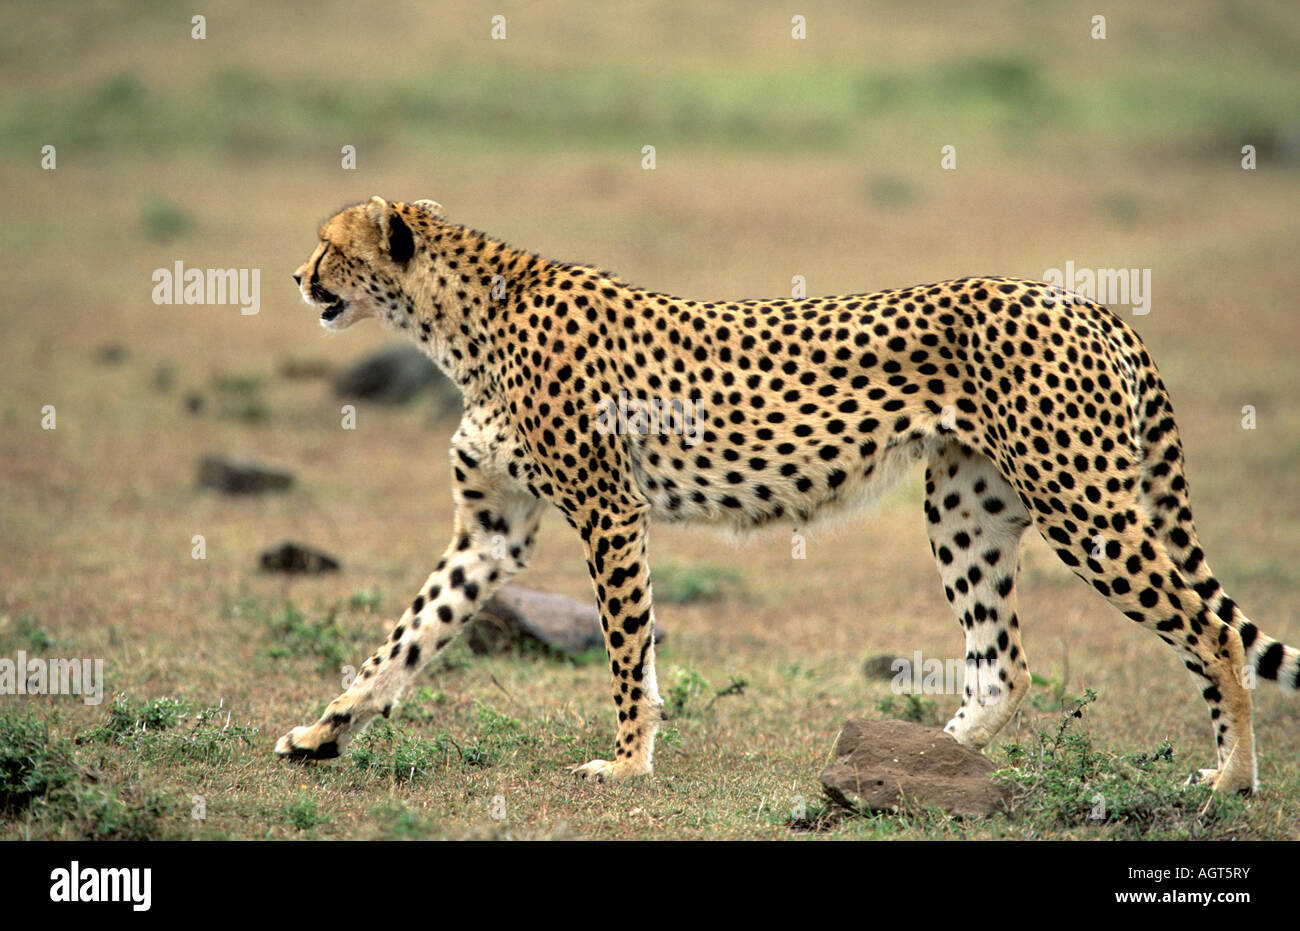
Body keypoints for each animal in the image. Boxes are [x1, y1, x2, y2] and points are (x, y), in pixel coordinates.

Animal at [277, 194, 1298, 794]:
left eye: (327, 245)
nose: (294, 276)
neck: (457, 320)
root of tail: (1085, 303)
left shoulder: (610, 511)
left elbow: (625, 650)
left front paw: (627, 763)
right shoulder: (493, 530)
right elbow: (405, 638)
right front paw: (325, 731)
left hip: (1085, 507)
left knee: (1210, 634)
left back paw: (1229, 781)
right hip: (967, 504)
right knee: (1003, 662)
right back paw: (924, 761)